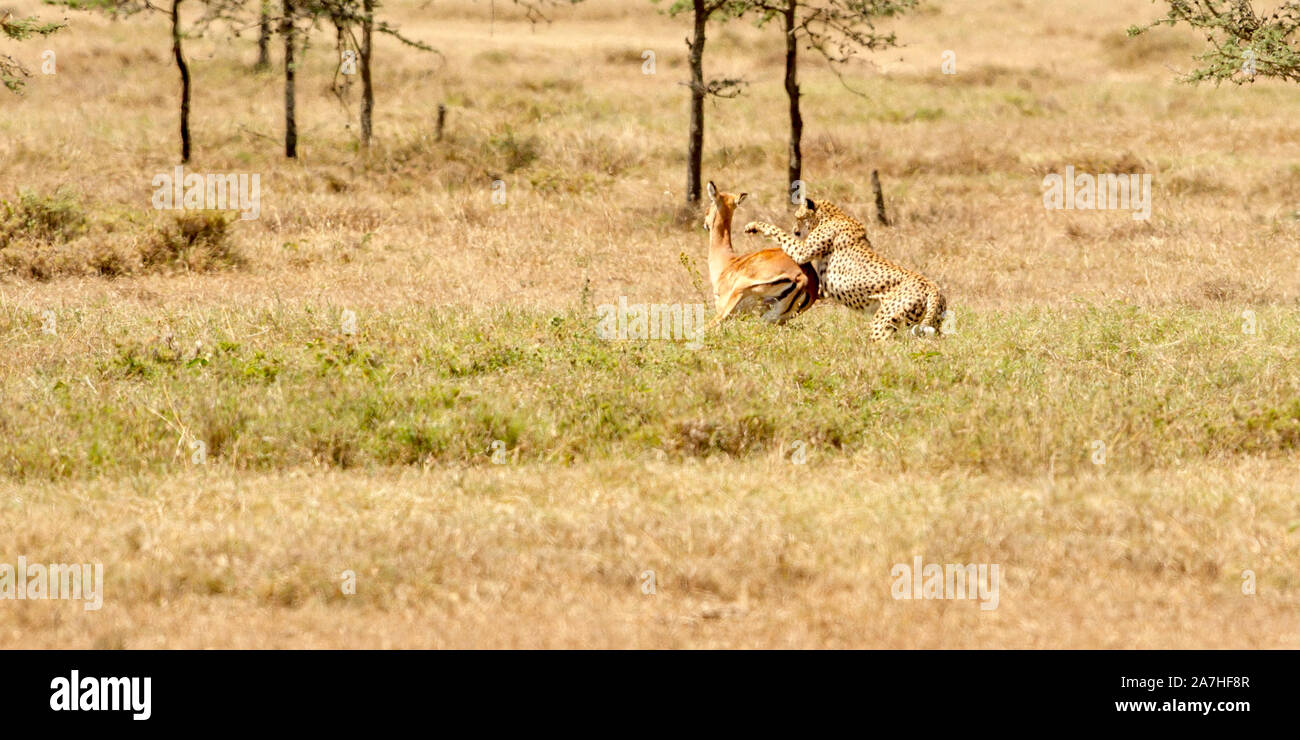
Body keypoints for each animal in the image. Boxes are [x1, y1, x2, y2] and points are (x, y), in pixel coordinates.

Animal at [703, 181, 818, 326]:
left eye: (710, 203)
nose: (705, 223)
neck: (728, 262)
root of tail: (802, 276)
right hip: (772, 319)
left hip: (737, 298)